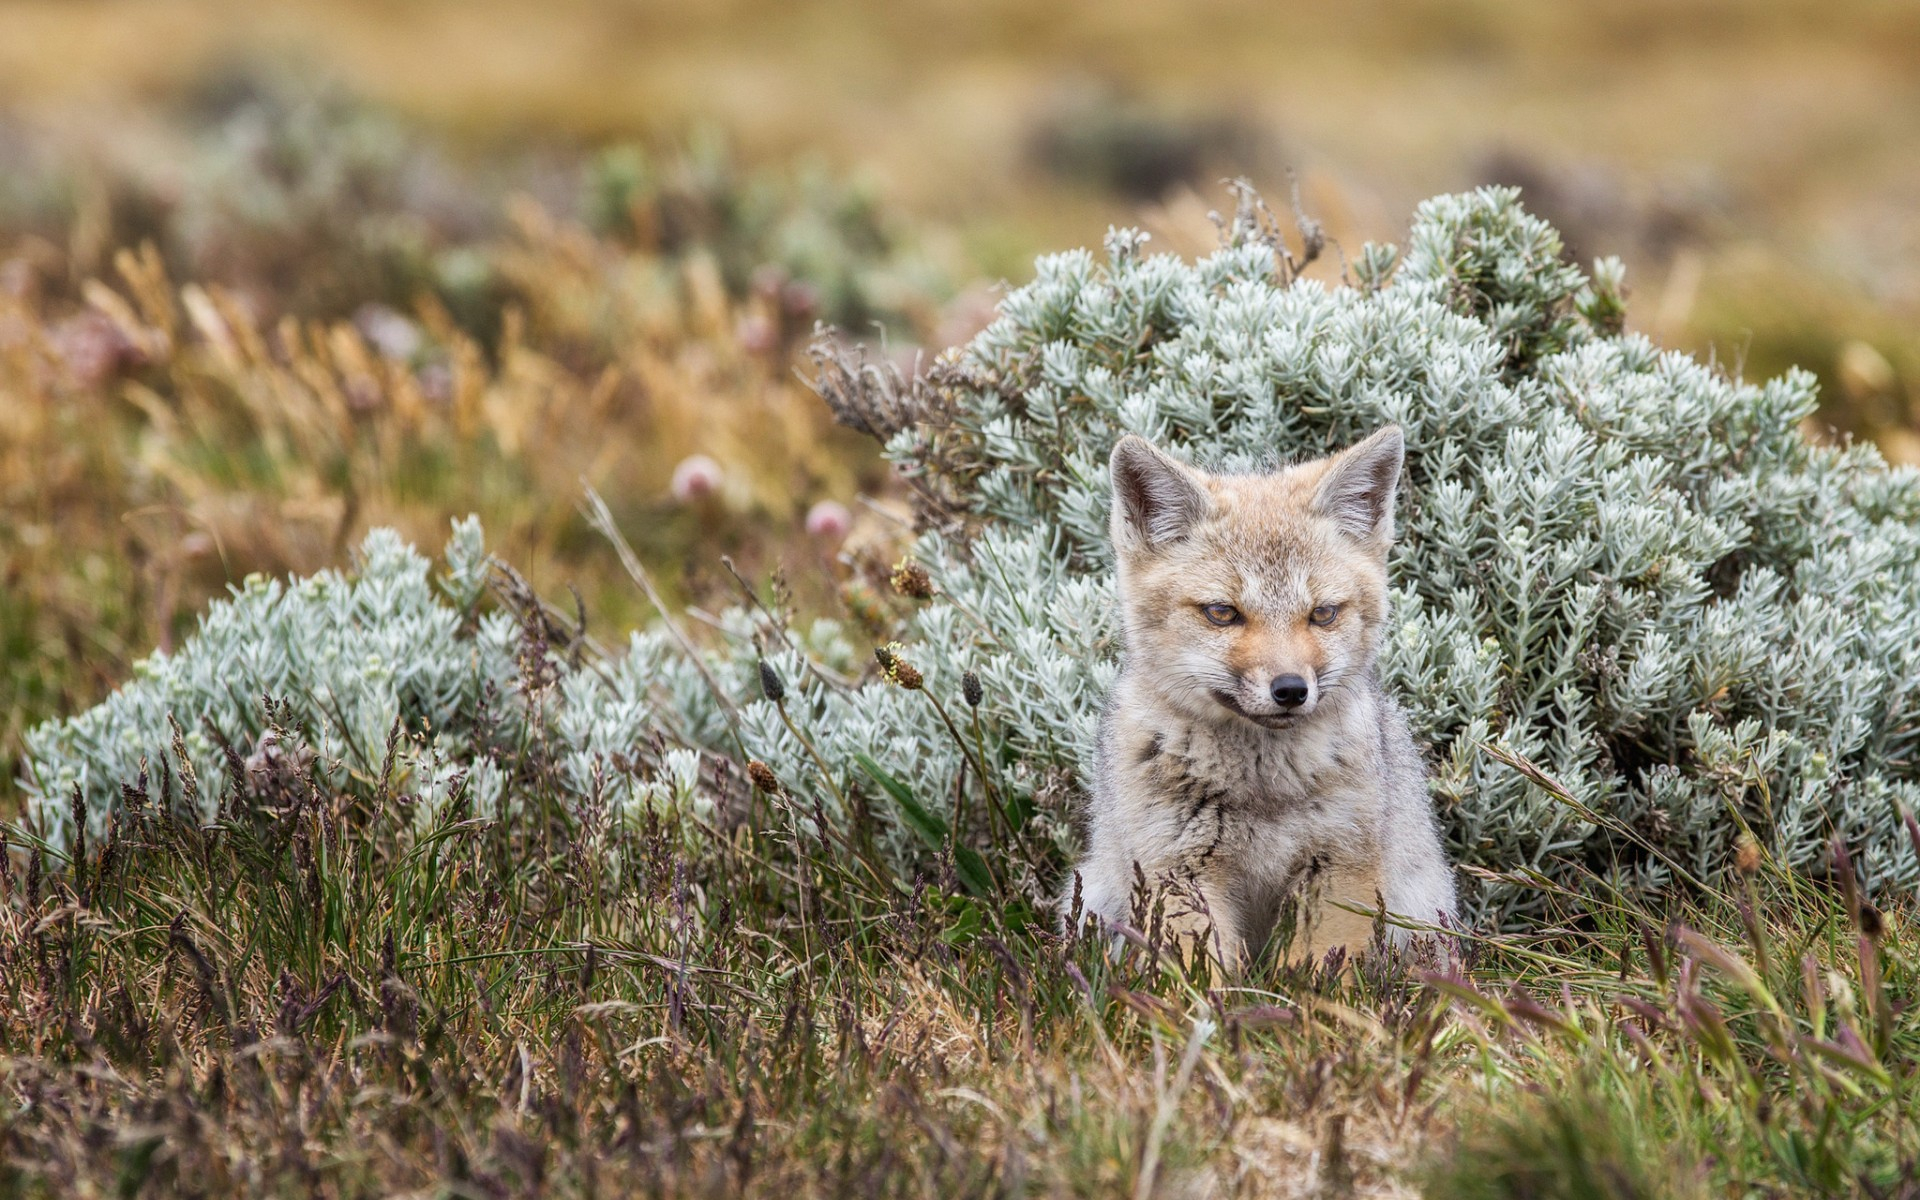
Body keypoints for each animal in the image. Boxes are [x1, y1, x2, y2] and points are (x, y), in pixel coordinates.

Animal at [1071, 425, 1457, 969]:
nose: (1291, 689)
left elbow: (1319, 977)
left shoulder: (1337, 871)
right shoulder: (1179, 870)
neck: (1262, 791)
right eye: (1222, 613)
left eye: (1323, 614)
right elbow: (1202, 978)